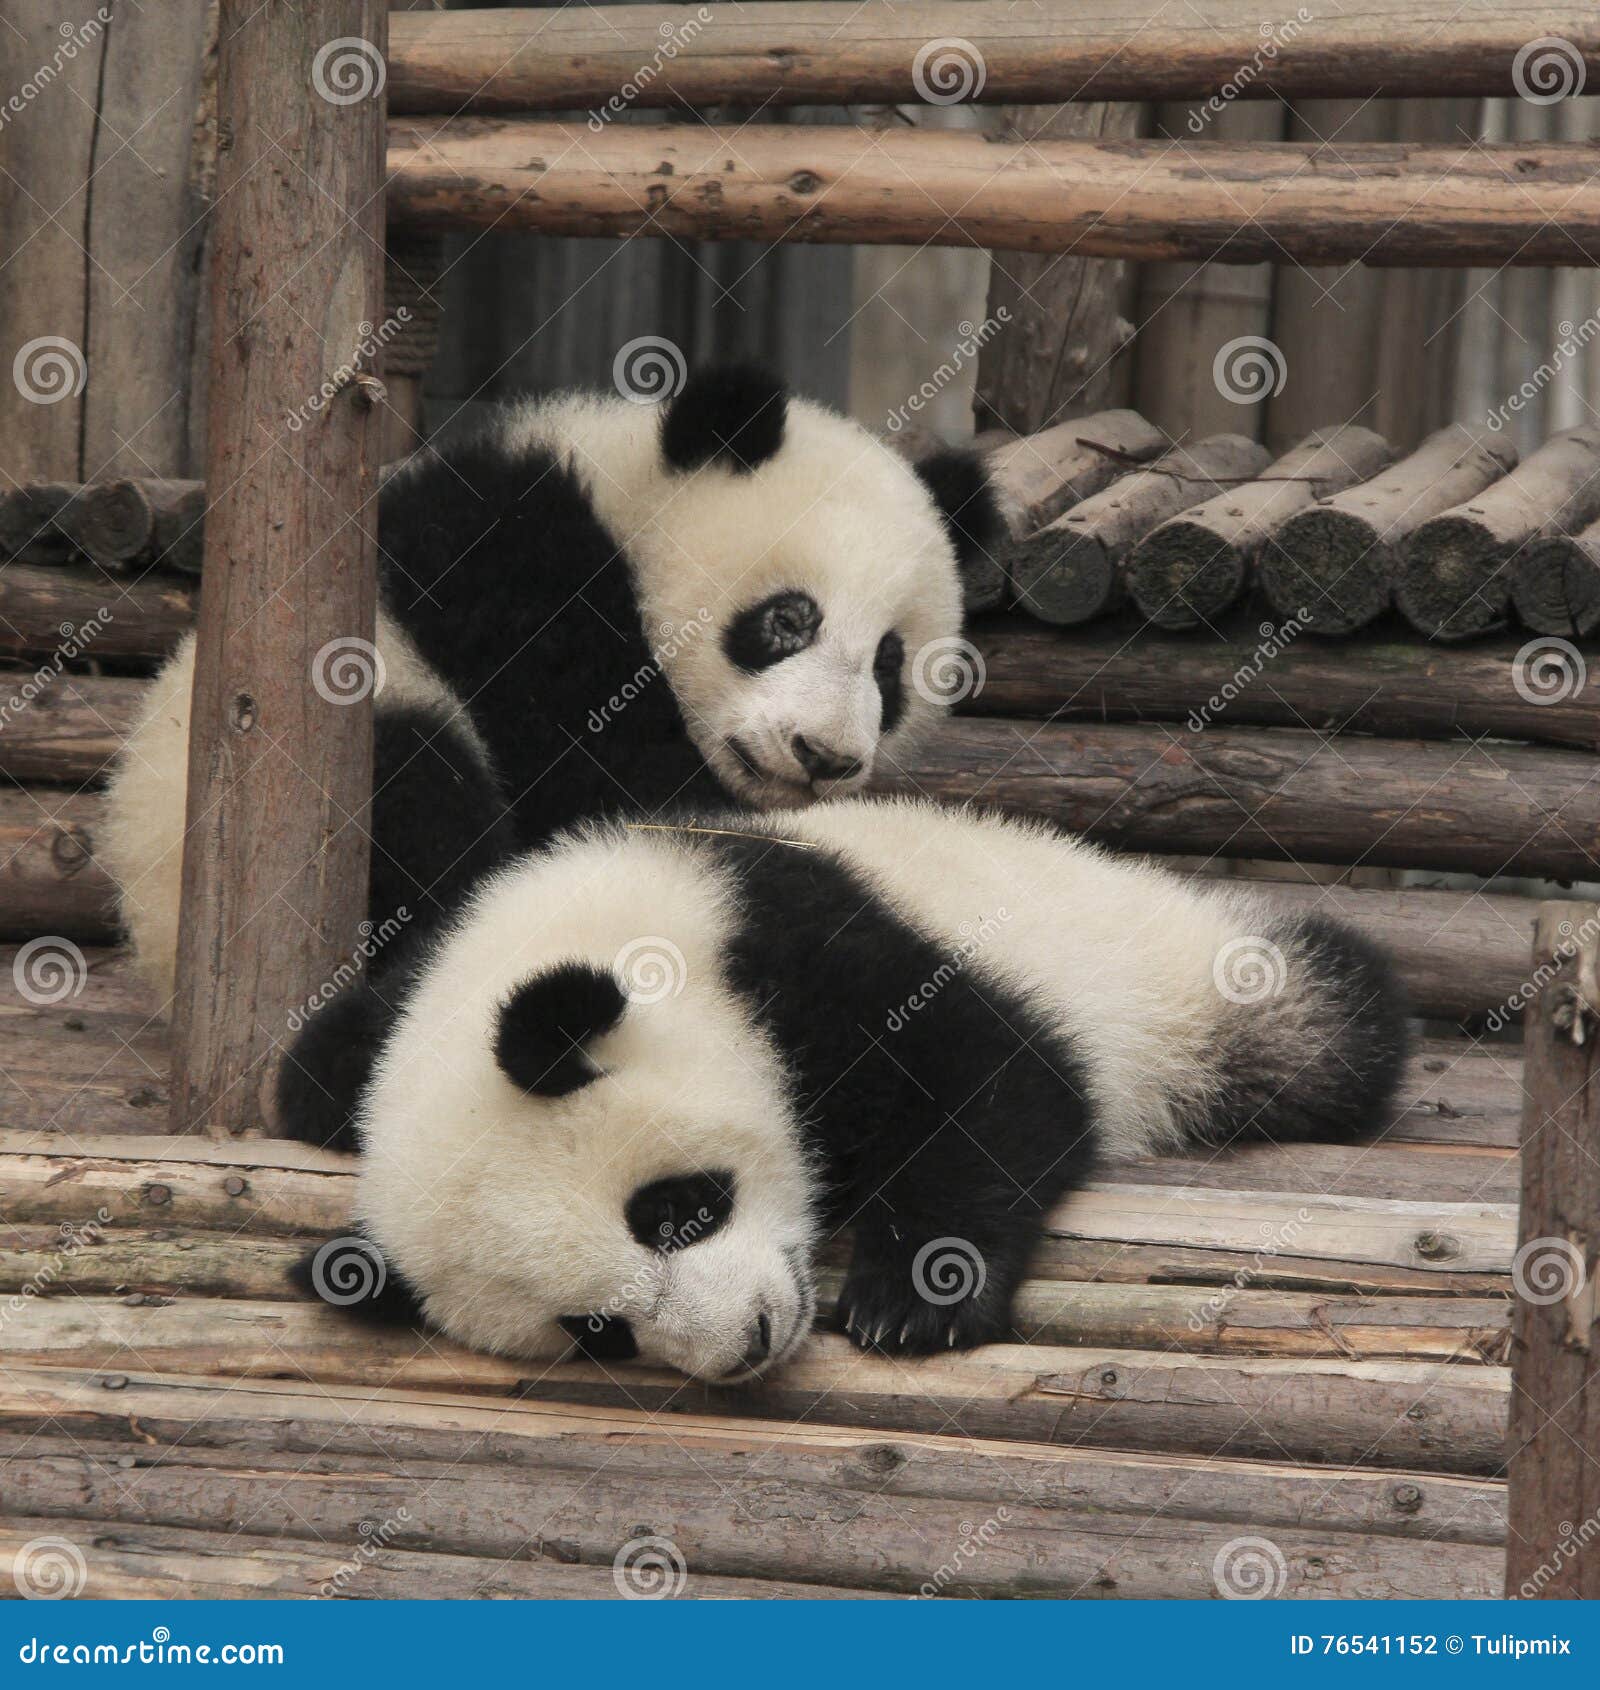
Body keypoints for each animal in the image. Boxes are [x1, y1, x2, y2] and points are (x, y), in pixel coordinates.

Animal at [98, 366, 1003, 1134]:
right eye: (788, 619)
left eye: (890, 665)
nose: (823, 756)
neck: (625, 496)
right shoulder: (511, 564)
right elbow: (598, 774)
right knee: (415, 795)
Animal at [311, 795, 1409, 1383]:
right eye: (596, 1332)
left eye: (674, 1211)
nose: (746, 1344)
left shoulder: (799, 941)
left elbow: (996, 1081)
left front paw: (915, 1298)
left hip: (1194, 992)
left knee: (1326, 1027)